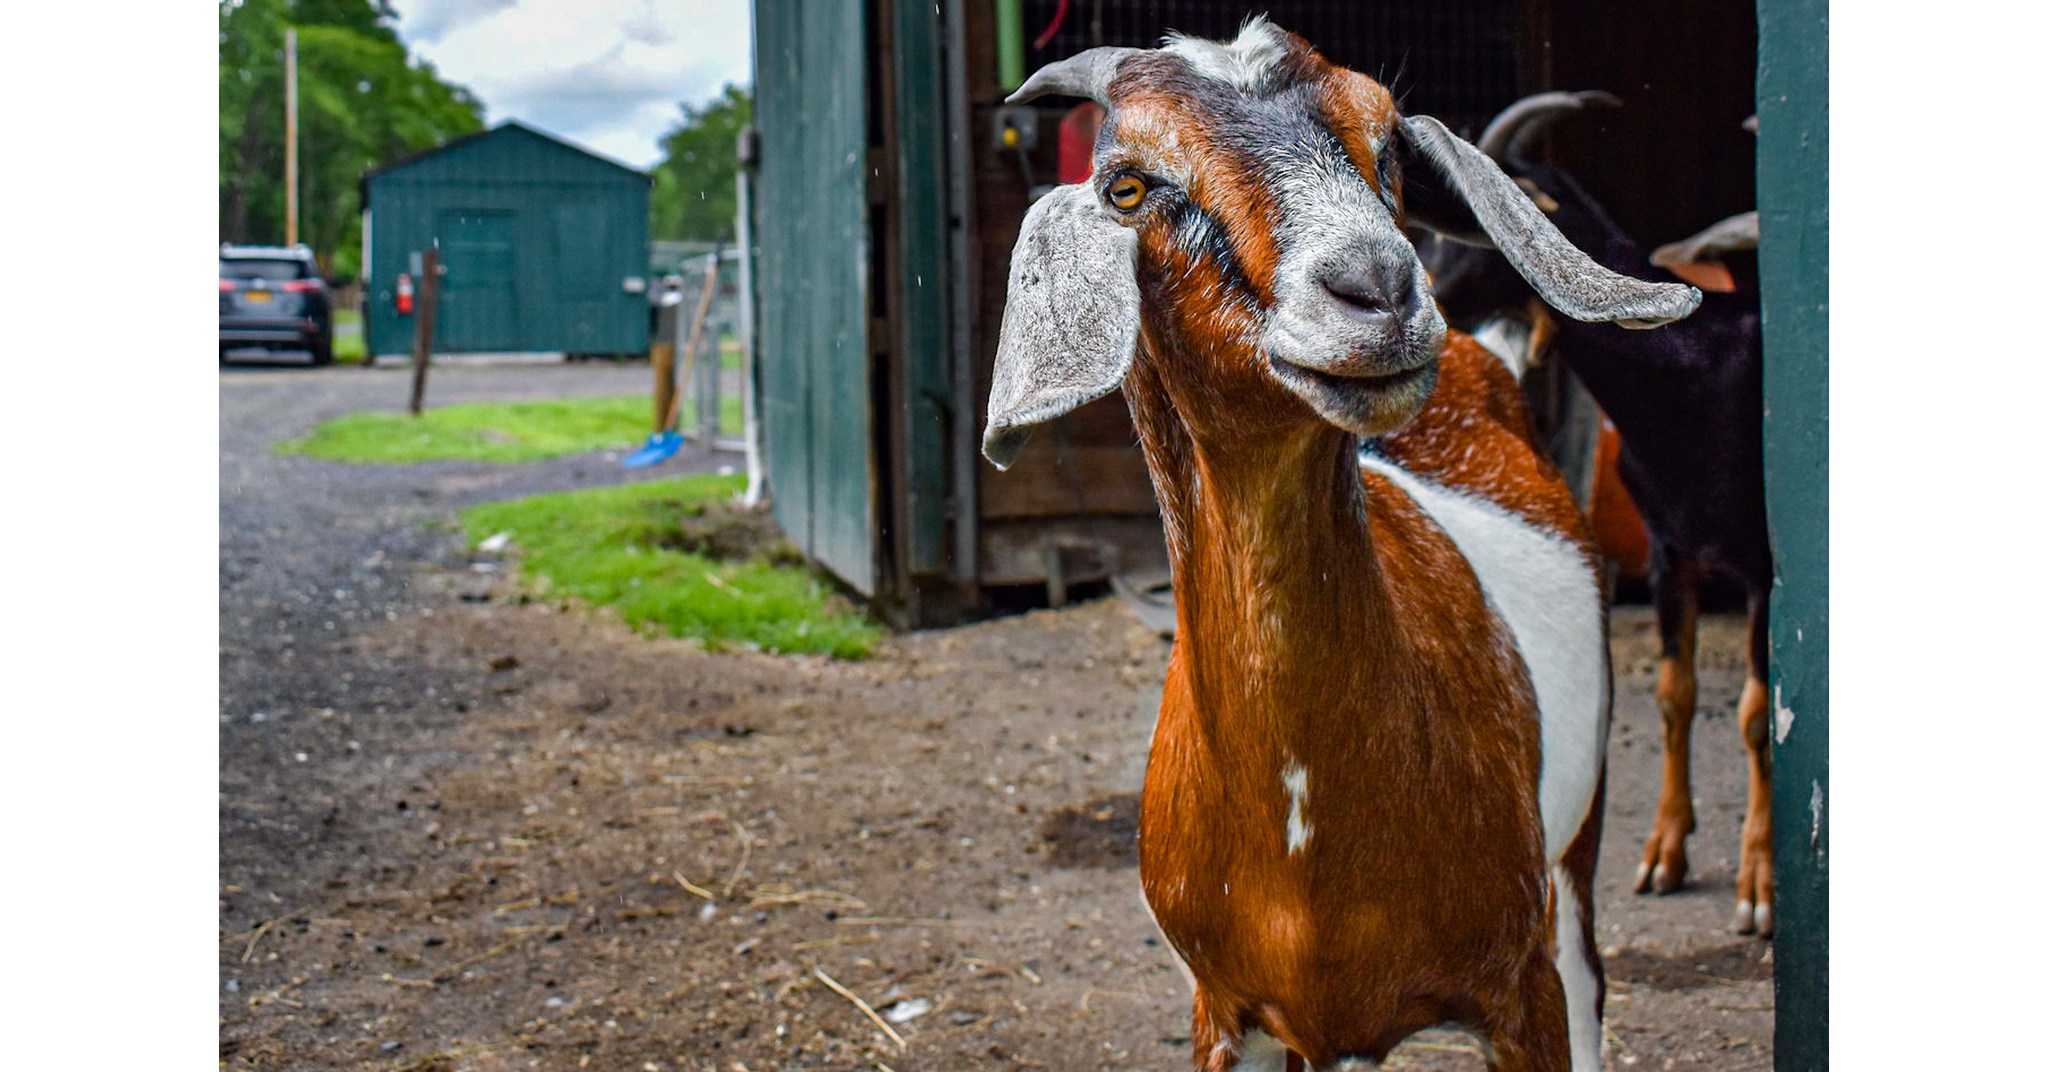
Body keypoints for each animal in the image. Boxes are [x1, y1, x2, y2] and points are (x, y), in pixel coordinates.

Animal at [982, 22, 1698, 1071]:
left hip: (1576, 850)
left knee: (1591, 973)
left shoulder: (1519, 987)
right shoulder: (1225, 1007)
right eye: (1128, 185)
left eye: (1387, 143)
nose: (1380, 289)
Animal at [1422, 93, 1773, 936]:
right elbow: (1675, 696)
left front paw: (1758, 884)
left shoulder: (1761, 565)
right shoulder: (1670, 553)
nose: (1429, 294)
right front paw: (1664, 852)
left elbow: (1753, 712)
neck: (1691, 378)